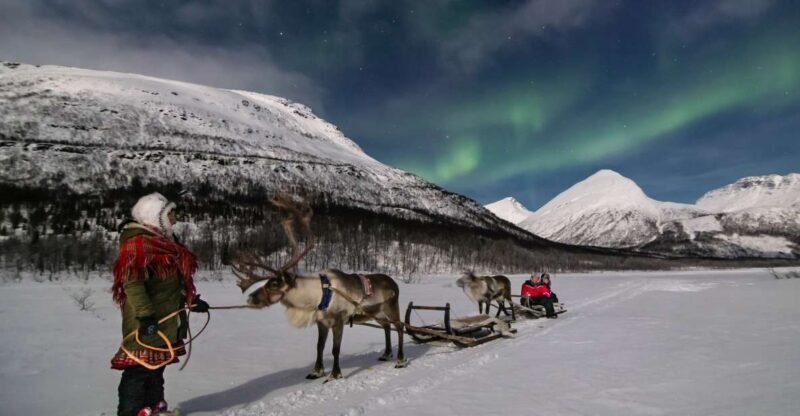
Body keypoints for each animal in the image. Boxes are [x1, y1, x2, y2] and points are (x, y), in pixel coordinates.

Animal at [232, 195, 407, 381]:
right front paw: (316, 372)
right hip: (377, 313)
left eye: (274, 283)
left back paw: (400, 360)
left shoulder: (339, 321)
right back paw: (386, 354)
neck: (316, 297)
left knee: (399, 327)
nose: (250, 298)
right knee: (387, 327)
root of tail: (395, 283)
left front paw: (335, 374)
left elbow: (335, 349)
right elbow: (319, 347)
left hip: (391, 308)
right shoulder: (321, 322)